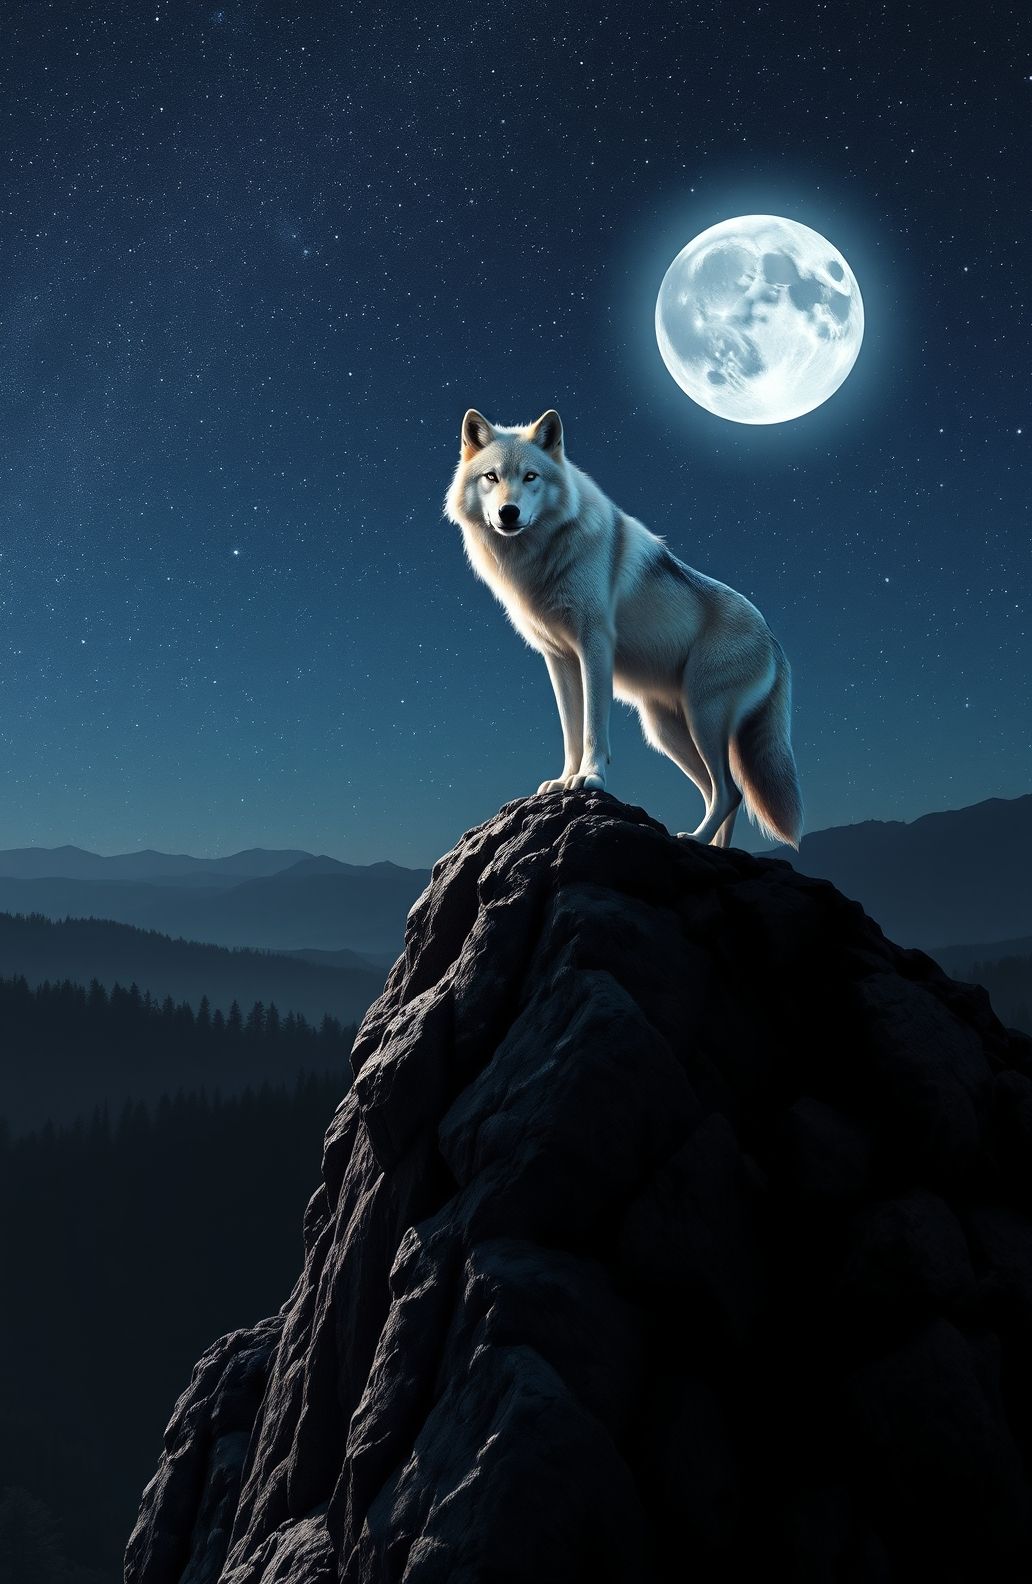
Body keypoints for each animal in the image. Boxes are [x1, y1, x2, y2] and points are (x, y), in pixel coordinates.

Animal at [444, 408, 803, 849]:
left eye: (530, 477)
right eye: (491, 477)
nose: (508, 513)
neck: (541, 555)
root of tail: (774, 641)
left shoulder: (595, 644)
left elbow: (593, 725)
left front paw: (591, 777)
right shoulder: (558, 658)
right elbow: (571, 729)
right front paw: (564, 780)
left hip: (702, 717)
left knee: (730, 791)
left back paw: (695, 839)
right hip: (667, 732)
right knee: (721, 792)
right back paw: (716, 849)